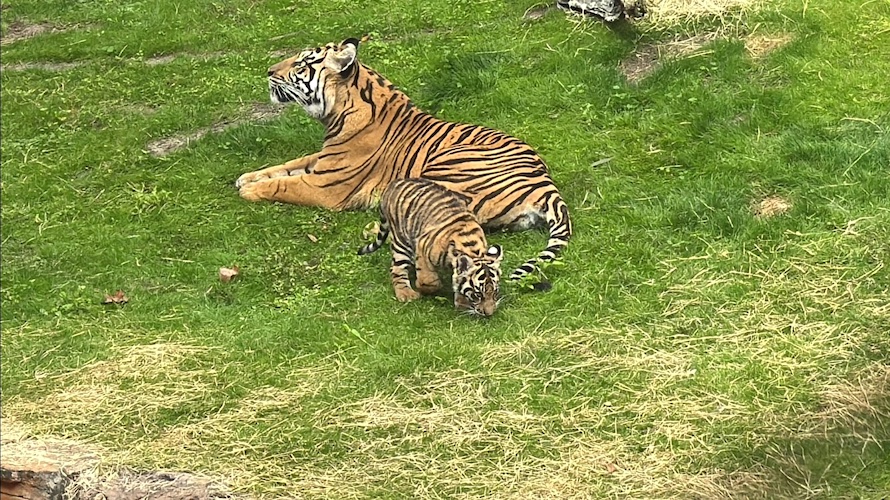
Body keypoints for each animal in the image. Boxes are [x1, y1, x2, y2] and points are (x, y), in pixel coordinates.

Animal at [236, 37, 571, 281]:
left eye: (302, 63)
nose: (269, 71)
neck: (339, 110)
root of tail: (546, 184)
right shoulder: (321, 161)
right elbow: (287, 167)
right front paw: (246, 177)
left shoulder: (326, 186)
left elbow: (284, 185)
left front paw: (248, 190)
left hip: (441, 173)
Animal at [358, 178, 503, 316]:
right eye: (478, 295)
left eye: (495, 293)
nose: (489, 314)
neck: (474, 250)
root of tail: (394, 183)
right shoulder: (422, 246)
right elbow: (428, 279)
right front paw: (427, 287)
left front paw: (462, 303)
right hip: (401, 241)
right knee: (396, 268)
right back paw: (406, 293)